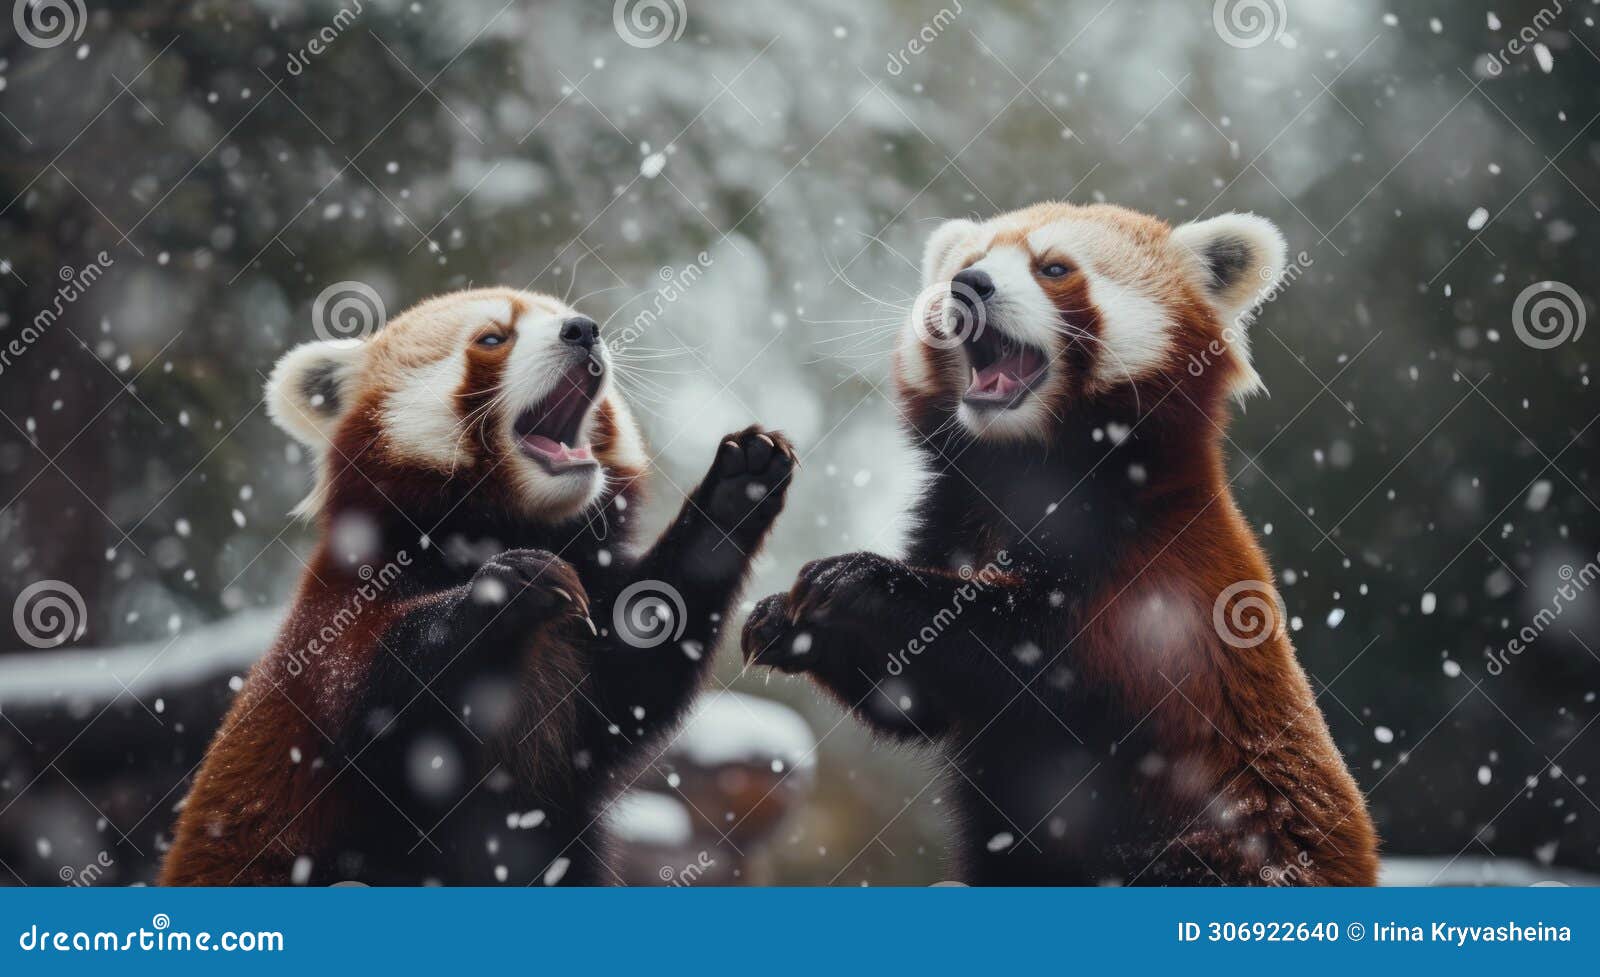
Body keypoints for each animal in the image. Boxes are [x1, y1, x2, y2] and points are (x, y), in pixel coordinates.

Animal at [161, 287, 794, 885]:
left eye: (568, 317)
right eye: (493, 338)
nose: (583, 330)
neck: (492, 529)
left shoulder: (583, 658)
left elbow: (643, 658)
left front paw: (739, 483)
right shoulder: (334, 624)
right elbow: (378, 682)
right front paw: (511, 586)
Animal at [743, 202, 1379, 885]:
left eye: (1052, 269)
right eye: (969, 263)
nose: (969, 287)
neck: (1026, 473)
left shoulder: (1155, 581)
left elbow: (1034, 647)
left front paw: (857, 581)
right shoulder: (952, 522)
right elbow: (913, 698)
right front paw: (783, 619)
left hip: (1226, 842)